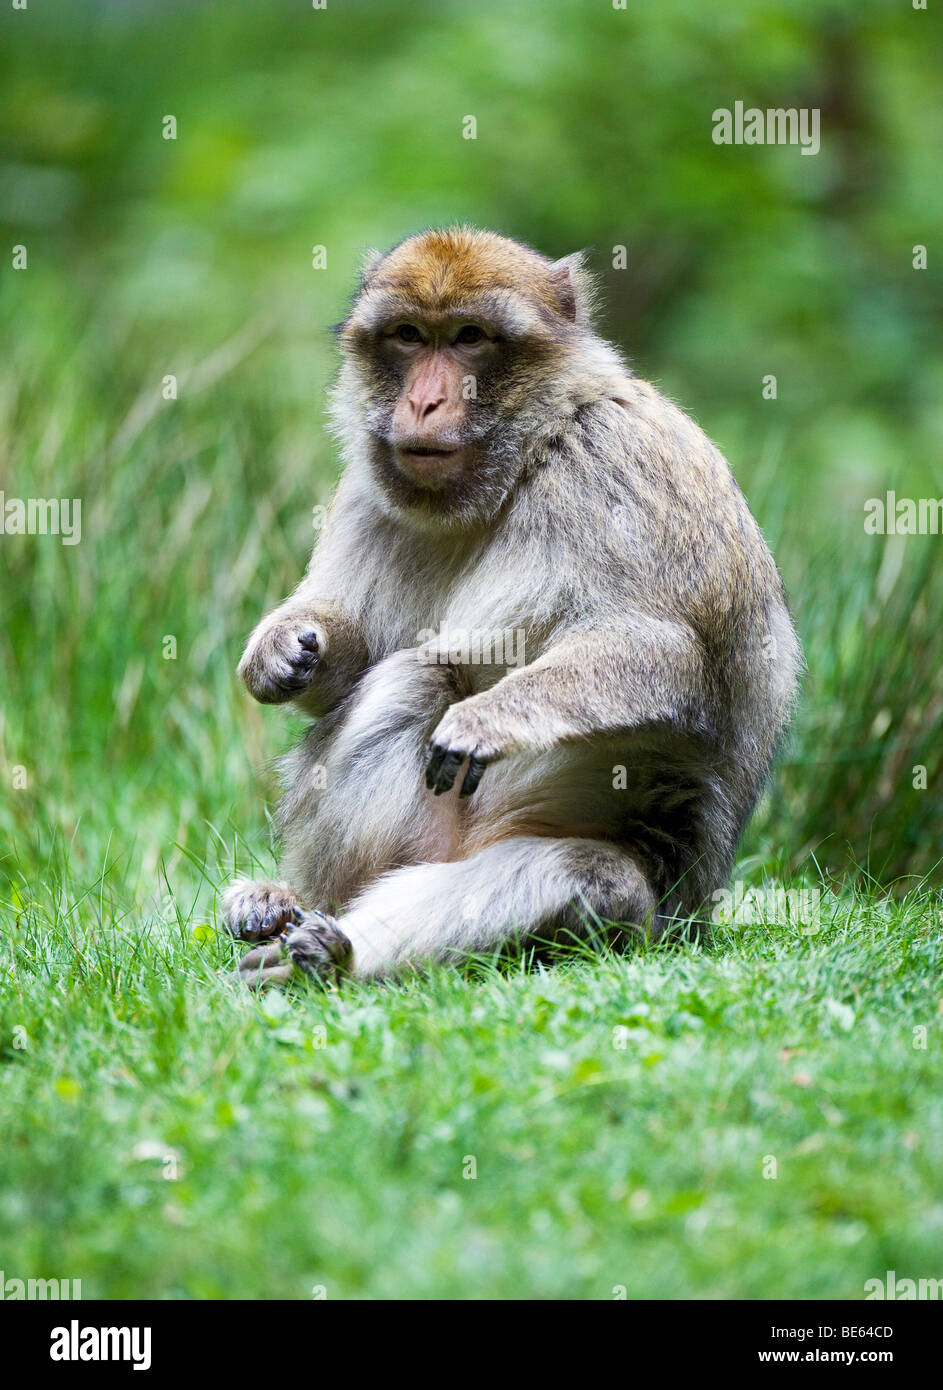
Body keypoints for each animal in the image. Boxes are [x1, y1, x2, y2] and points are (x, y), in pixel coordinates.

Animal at [222, 226, 801, 987]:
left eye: (469, 338)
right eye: (409, 336)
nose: (424, 403)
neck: (527, 457)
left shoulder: (617, 461)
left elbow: (666, 656)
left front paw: (487, 719)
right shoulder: (362, 494)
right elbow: (348, 668)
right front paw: (286, 646)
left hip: (648, 920)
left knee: (583, 874)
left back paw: (331, 956)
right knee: (413, 678)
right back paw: (294, 910)